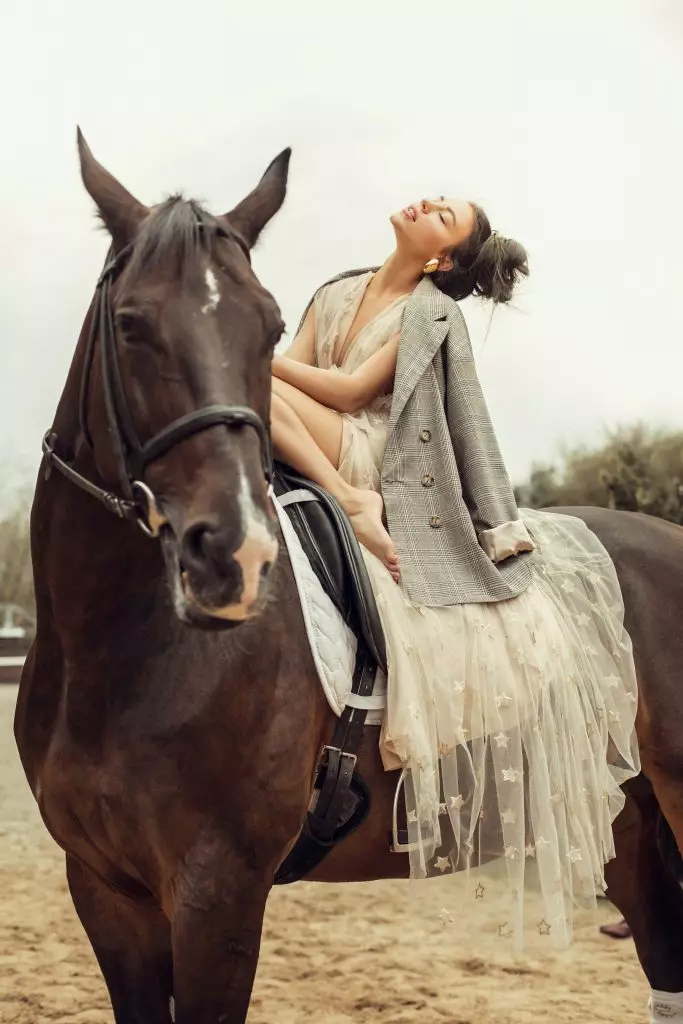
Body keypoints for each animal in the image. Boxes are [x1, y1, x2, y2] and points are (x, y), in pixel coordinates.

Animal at [14, 132, 683, 1019]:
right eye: (130, 325)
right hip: (620, 818)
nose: (234, 557)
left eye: (268, 328)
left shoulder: (217, 893)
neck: (119, 655)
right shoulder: (103, 889)